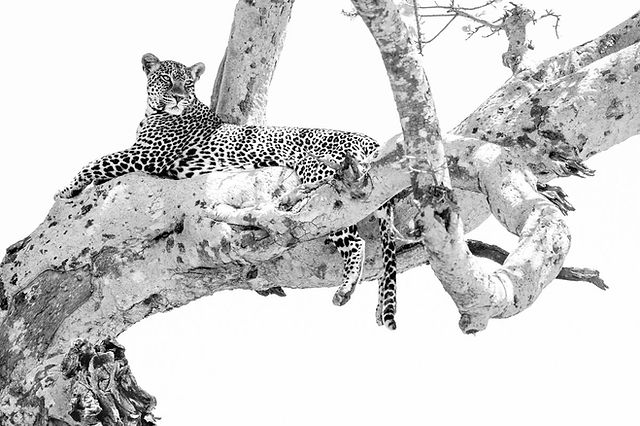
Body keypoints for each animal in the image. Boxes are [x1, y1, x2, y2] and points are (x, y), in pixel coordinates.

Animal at [57, 53, 399, 329]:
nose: (178, 97)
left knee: (354, 239)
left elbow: (100, 161)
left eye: (187, 83)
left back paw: (345, 287)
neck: (154, 112)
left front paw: (65, 189)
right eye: (168, 79)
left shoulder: (146, 155)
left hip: (326, 181)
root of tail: (370, 139)